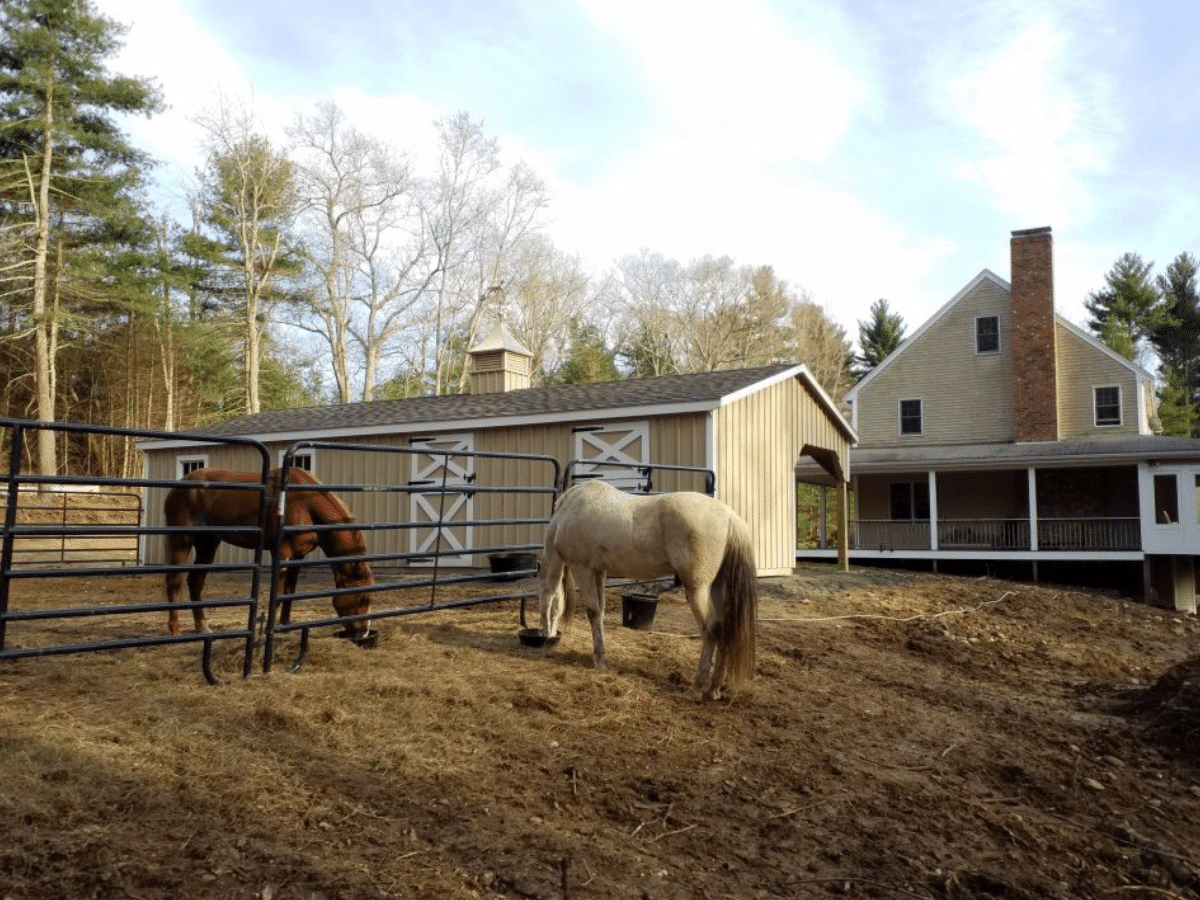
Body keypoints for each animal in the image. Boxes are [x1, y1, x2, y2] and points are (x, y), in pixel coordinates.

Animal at [163, 468, 374, 641]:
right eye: (361, 597)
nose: (363, 633)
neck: (304, 503)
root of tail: (179, 486)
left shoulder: (298, 557)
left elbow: (289, 593)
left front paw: (285, 626)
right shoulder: (282, 554)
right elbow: (278, 593)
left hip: (207, 544)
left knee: (195, 581)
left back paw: (203, 627)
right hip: (181, 542)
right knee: (174, 581)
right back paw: (175, 629)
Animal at [537, 479, 758, 700]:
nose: (547, 638)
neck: (567, 510)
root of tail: (729, 515)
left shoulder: (582, 569)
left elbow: (591, 612)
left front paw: (598, 659)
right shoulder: (598, 572)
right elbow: (599, 612)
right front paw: (600, 656)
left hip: (698, 589)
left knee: (711, 630)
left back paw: (698, 686)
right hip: (717, 587)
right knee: (724, 627)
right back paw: (714, 688)